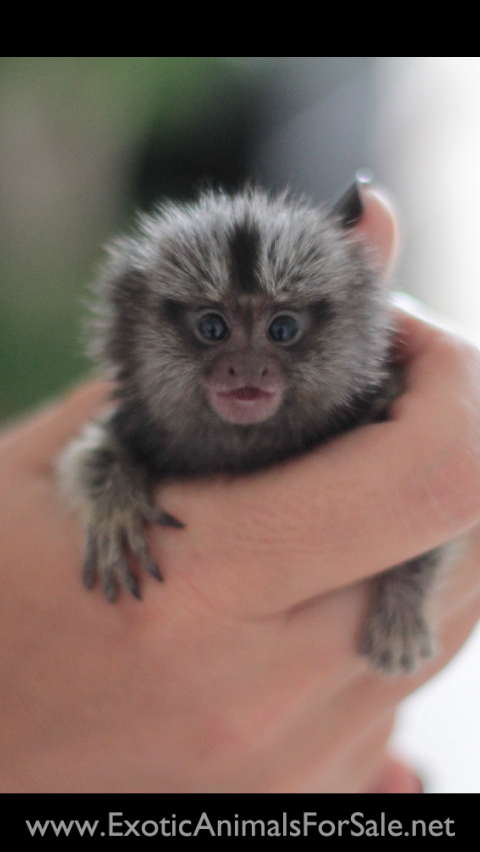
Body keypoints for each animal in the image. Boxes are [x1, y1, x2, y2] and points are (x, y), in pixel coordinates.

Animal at [59, 181, 445, 674]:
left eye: (282, 329)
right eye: (212, 327)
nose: (245, 368)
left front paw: (400, 607)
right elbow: (91, 453)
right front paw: (115, 501)